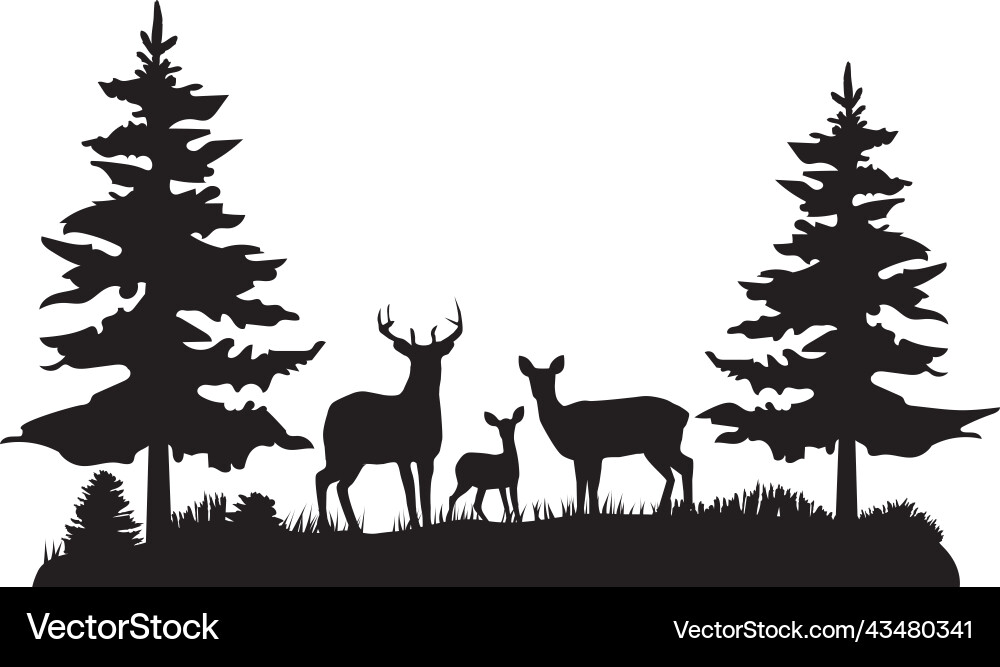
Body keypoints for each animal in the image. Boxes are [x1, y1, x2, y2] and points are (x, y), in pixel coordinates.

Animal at [316, 302, 463, 532]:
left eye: (436, 354)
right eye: (413, 356)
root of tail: (330, 411)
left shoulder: (428, 456)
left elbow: (425, 494)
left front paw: (426, 525)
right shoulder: (402, 455)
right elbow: (410, 493)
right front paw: (415, 526)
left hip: (354, 459)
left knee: (340, 485)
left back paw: (355, 528)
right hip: (339, 452)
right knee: (322, 478)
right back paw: (326, 526)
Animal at [518, 355, 692, 515]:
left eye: (551, 378)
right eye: (532, 377)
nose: (539, 392)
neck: (562, 420)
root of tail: (685, 415)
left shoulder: (592, 454)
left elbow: (591, 484)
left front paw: (592, 512)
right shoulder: (584, 457)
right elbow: (584, 484)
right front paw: (584, 512)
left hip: (661, 446)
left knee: (685, 464)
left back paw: (683, 507)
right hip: (660, 448)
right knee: (677, 471)